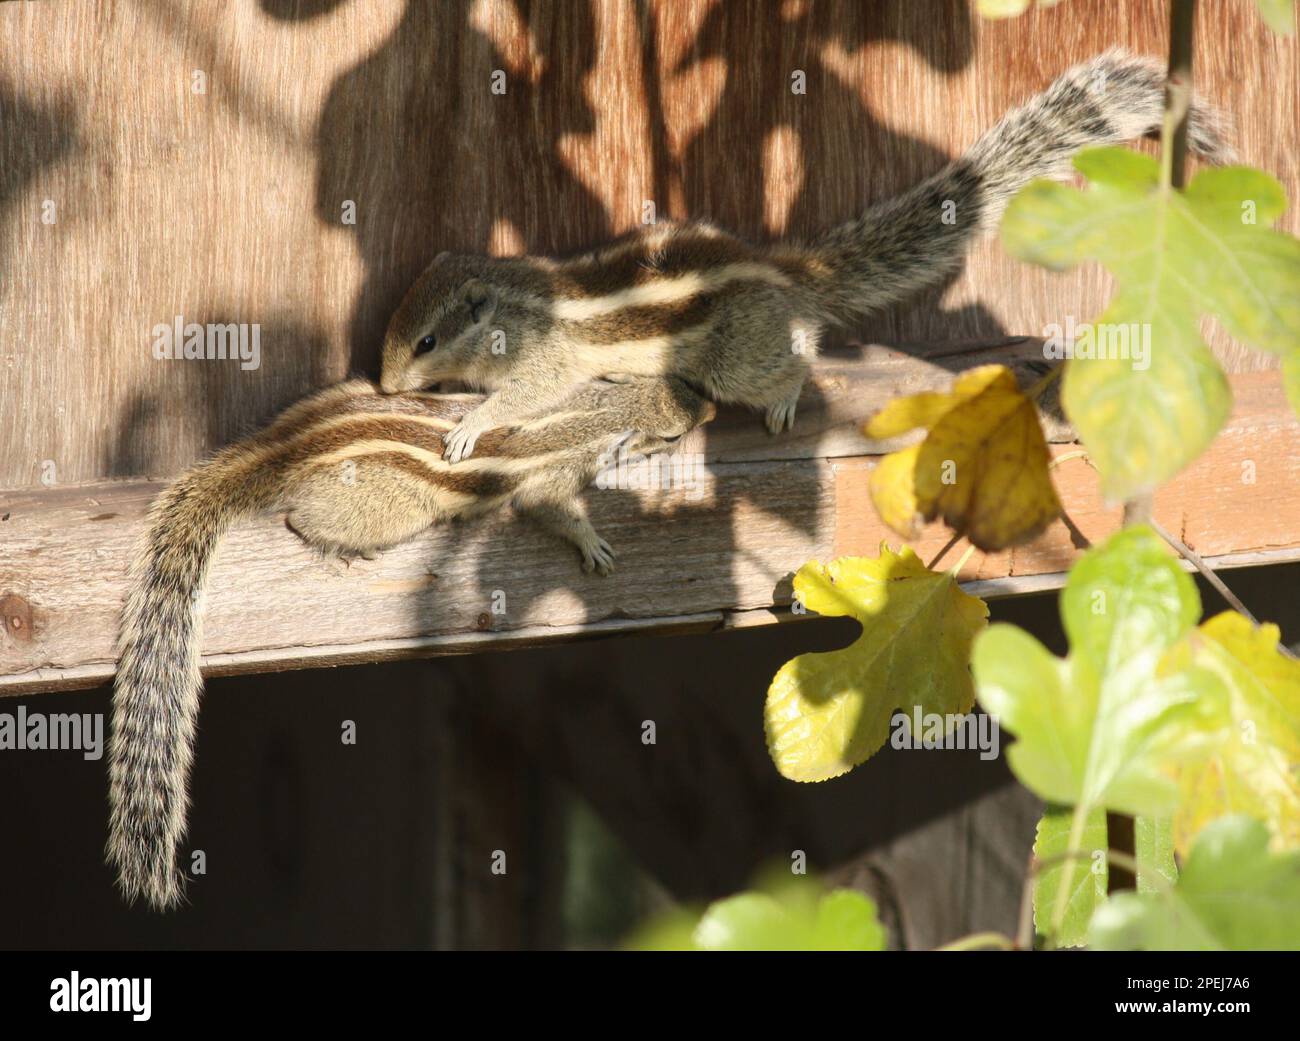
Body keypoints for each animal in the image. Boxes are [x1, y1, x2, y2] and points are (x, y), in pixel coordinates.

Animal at [107, 375, 714, 910]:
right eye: (671, 435)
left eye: (677, 386)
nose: (710, 411)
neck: (593, 409)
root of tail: (289, 448)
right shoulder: (554, 475)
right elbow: (548, 507)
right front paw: (592, 543)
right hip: (385, 507)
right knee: (299, 518)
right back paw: (338, 546)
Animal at [379, 50, 1230, 462]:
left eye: (426, 340)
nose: (384, 383)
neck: (515, 301)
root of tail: (787, 275)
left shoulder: (546, 361)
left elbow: (520, 396)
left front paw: (470, 425)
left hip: (741, 355)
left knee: (797, 354)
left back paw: (786, 397)